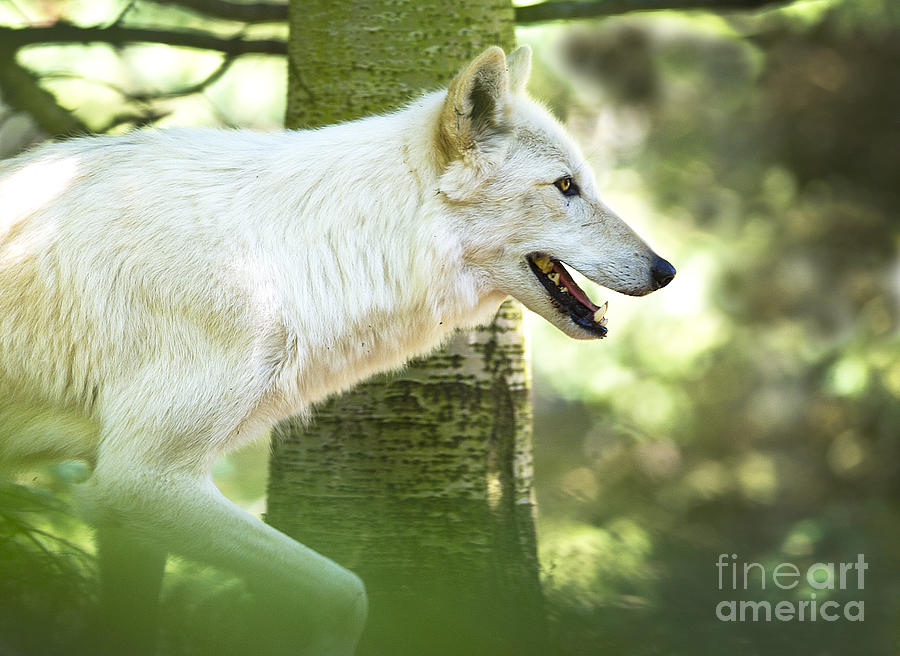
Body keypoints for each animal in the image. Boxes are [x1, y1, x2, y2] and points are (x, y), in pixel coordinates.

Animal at [0, 46, 673, 654]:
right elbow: (345, 593)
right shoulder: (141, 481)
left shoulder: (121, 507)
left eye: (586, 183)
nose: (666, 270)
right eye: (565, 186)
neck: (288, 259)